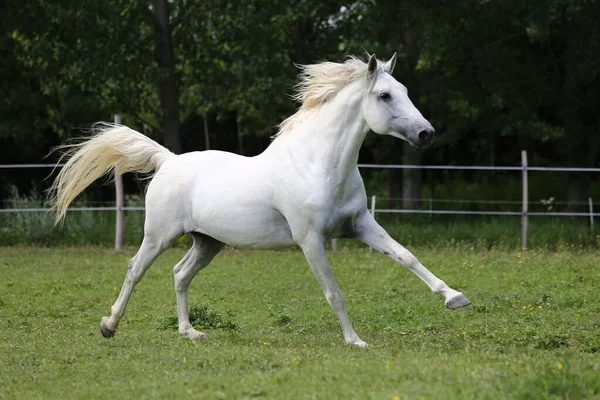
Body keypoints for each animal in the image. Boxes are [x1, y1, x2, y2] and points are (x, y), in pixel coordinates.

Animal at [51, 54, 472, 346]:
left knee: (180, 274)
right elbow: (333, 292)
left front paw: (455, 297)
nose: (426, 134)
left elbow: (407, 257)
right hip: (159, 236)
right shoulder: (310, 240)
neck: (317, 164)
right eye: (385, 95)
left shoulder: (361, 225)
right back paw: (109, 326)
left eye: (405, 92)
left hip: (208, 242)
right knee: (135, 269)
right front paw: (355, 340)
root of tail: (169, 160)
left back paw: (190, 333)